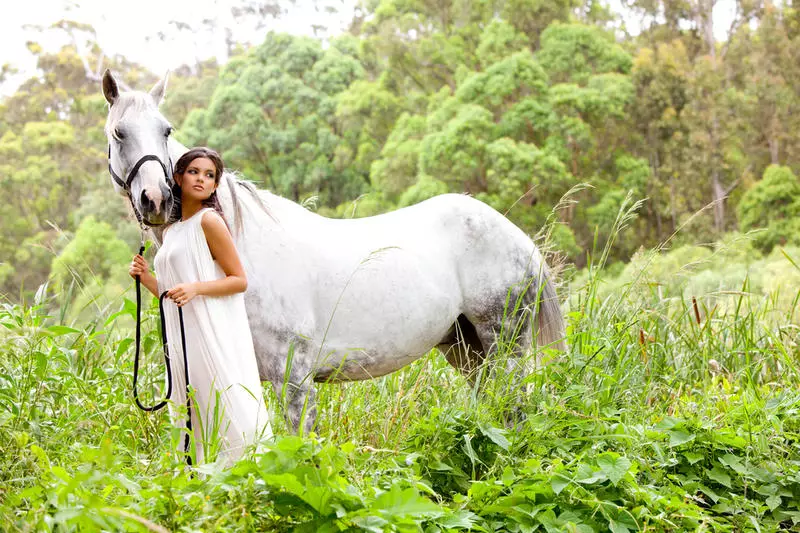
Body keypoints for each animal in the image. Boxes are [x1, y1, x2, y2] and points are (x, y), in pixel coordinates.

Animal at [103, 70, 564, 430]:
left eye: (166, 130)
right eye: (119, 133)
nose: (157, 200)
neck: (240, 253)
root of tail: (518, 237)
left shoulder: (295, 380)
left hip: (504, 340)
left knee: (515, 408)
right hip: (466, 348)